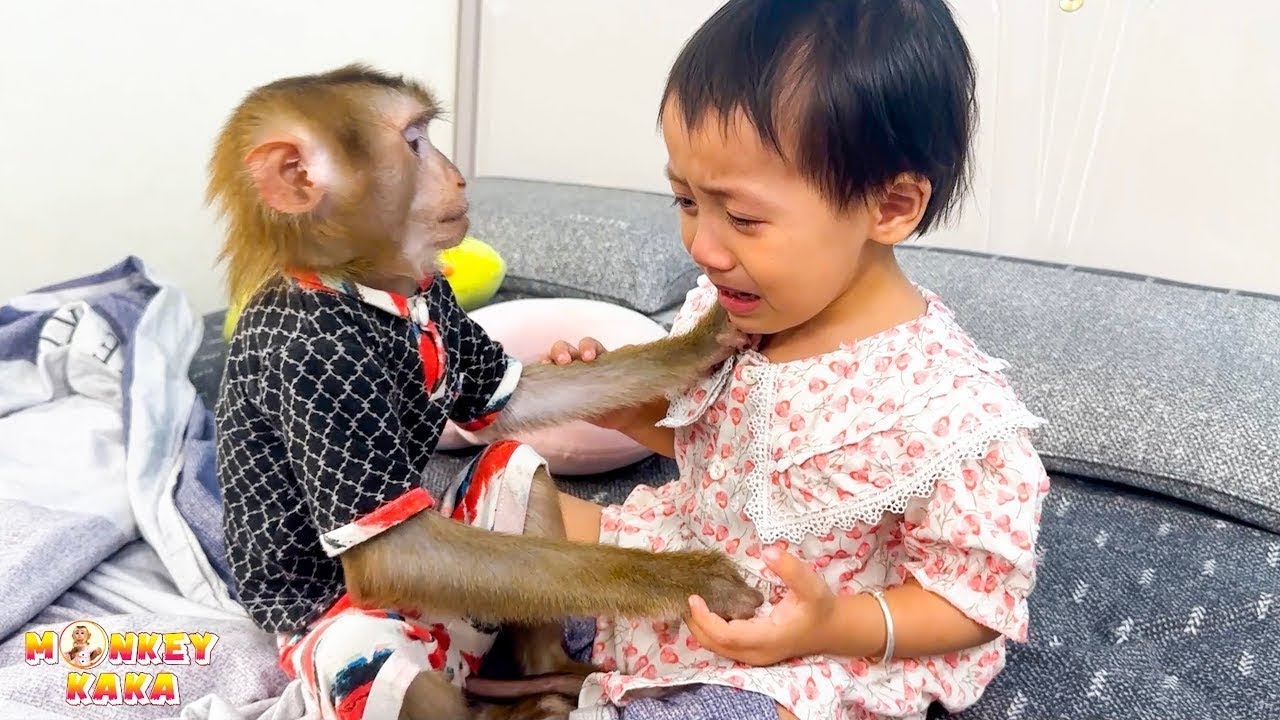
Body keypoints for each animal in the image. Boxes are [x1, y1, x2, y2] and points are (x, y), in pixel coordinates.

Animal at [207, 64, 763, 720]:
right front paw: (691, 580)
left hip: (481, 612)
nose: (456, 174)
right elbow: (395, 553)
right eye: (414, 142)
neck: (363, 287)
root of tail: (464, 671)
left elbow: (513, 406)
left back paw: (553, 675)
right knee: (372, 658)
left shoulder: (438, 295)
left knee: (515, 463)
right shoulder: (315, 367)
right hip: (369, 638)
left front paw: (703, 340)